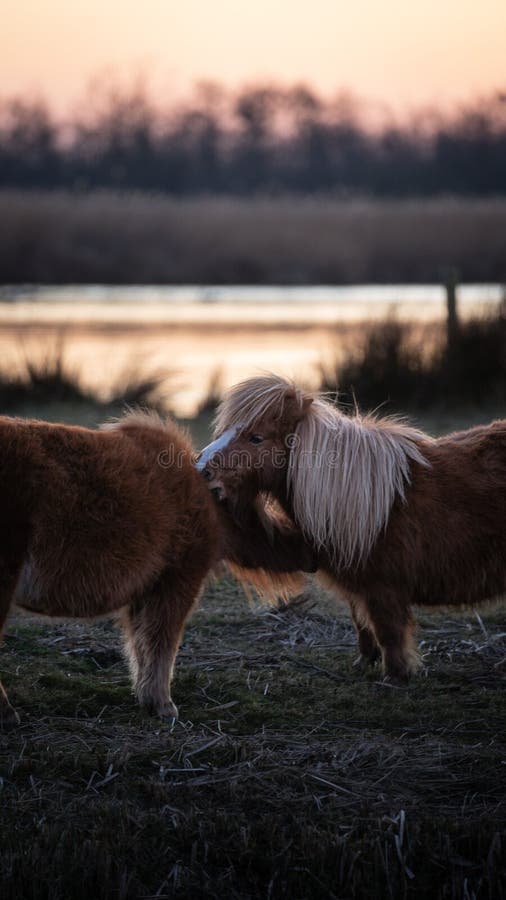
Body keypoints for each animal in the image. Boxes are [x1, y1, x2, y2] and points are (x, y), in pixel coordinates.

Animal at [0, 410, 313, 727]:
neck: (212, 506)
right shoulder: (179, 580)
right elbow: (163, 640)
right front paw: (163, 705)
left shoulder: (146, 589)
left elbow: (141, 643)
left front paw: (146, 697)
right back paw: (8, 713)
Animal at [198, 374, 506, 682]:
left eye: (256, 437)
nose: (201, 470)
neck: (368, 502)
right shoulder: (360, 588)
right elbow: (363, 626)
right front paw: (365, 663)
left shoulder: (384, 590)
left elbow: (389, 635)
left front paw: (395, 676)